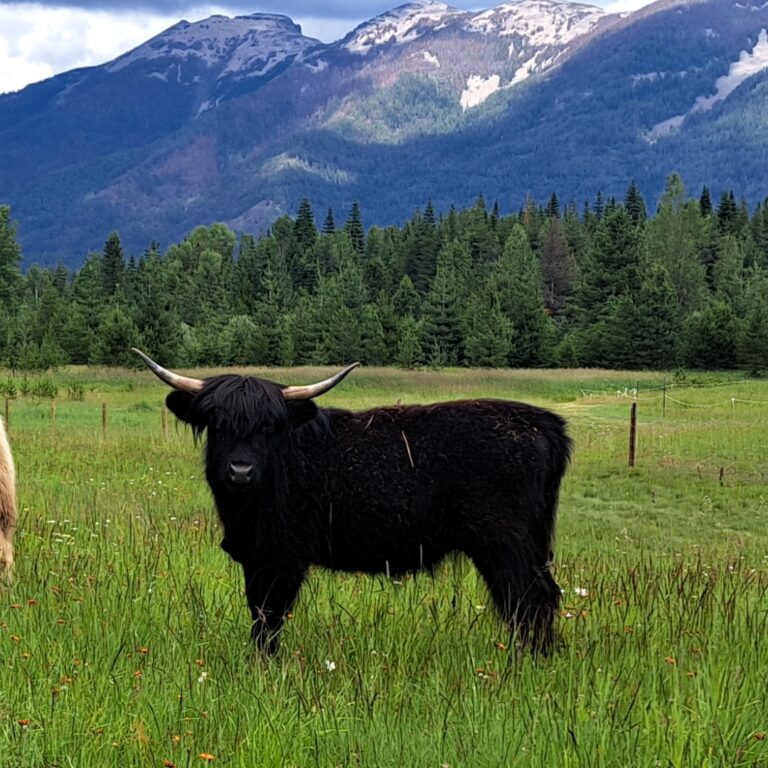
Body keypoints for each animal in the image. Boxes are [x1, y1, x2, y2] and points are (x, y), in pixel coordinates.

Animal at [134, 348, 572, 655]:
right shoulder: (256, 556)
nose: (240, 470)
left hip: (505, 542)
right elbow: (257, 610)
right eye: (218, 423)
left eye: (269, 426)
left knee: (530, 600)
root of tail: (542, 422)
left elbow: (269, 615)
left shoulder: (283, 555)